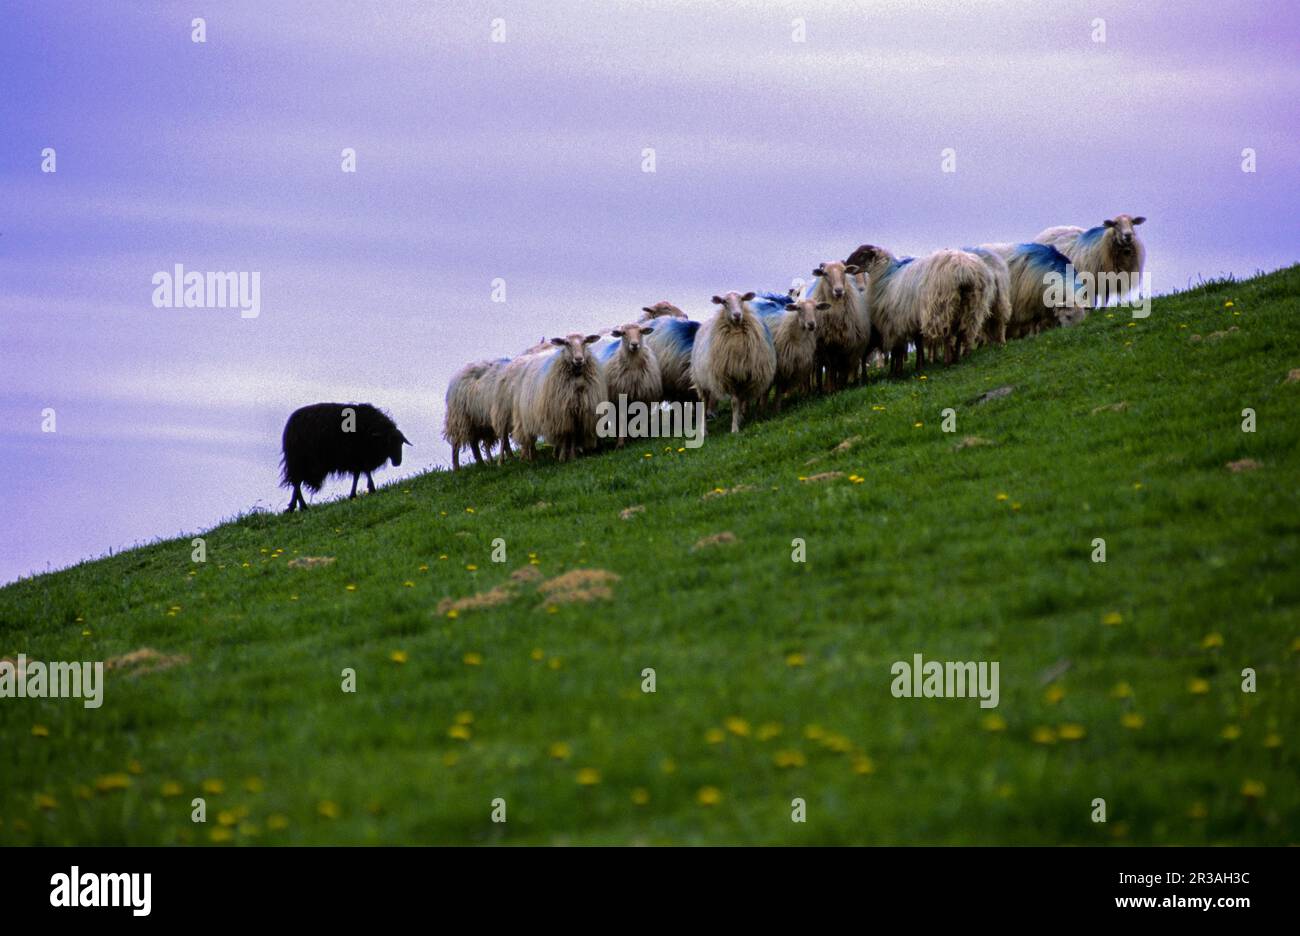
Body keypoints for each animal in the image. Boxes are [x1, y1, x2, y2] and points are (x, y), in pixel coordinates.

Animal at [281, 402, 410, 512]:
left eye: (401, 443)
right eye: (389, 442)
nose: (397, 462)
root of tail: (289, 427)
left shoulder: (358, 459)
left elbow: (358, 475)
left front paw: (354, 494)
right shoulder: (359, 456)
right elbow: (365, 472)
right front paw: (371, 489)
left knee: (296, 483)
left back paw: (294, 507)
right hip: (299, 461)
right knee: (296, 482)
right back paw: (301, 506)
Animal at [690, 291, 776, 435]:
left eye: (742, 299)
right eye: (724, 302)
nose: (737, 315)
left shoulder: (745, 377)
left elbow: (741, 400)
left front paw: (740, 419)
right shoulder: (730, 378)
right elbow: (735, 402)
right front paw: (735, 429)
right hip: (702, 382)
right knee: (704, 403)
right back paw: (704, 431)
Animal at [805, 260, 869, 392]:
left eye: (844, 271)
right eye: (825, 273)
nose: (839, 291)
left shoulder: (847, 344)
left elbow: (841, 367)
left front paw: (840, 386)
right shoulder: (826, 345)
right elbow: (831, 367)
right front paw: (830, 388)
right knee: (820, 369)